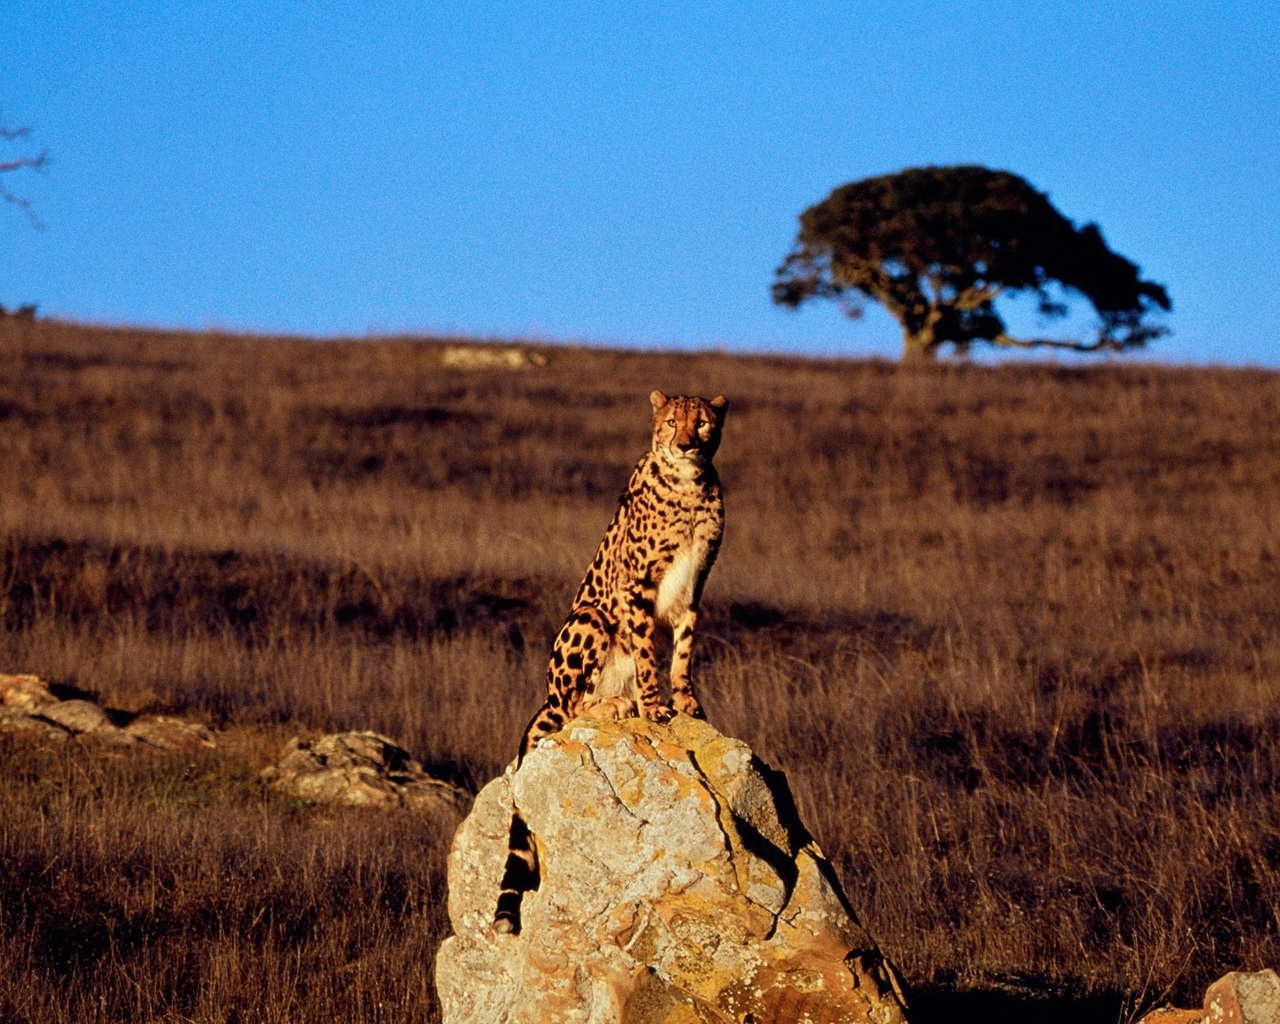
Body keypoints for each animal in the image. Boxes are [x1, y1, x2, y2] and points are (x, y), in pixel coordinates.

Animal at [492, 389, 729, 934]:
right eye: (672, 423)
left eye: (703, 423)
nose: (686, 445)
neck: (690, 488)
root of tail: (546, 695)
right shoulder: (636, 588)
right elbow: (646, 653)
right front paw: (654, 706)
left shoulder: (694, 588)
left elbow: (682, 653)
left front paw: (686, 702)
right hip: (590, 618)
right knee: (572, 708)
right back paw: (614, 706)